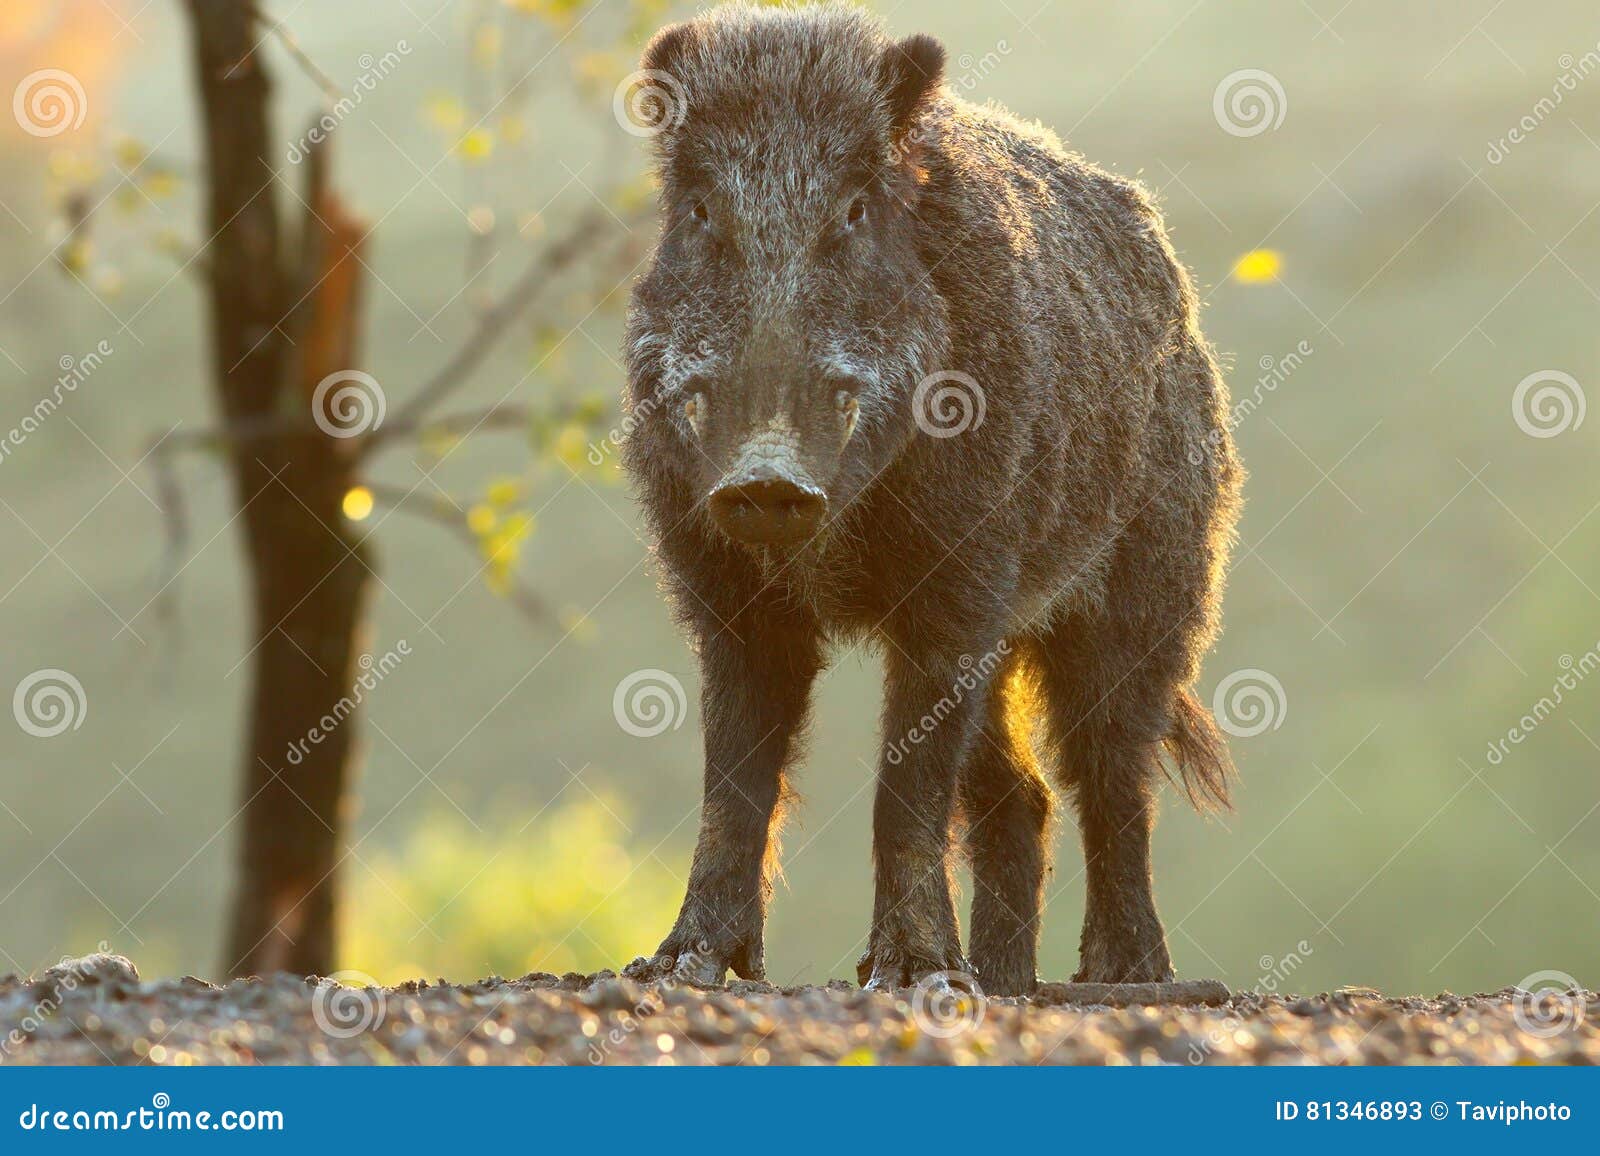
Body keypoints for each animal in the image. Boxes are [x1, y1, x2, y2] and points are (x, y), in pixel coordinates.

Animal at [620, 1, 1243, 996]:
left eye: (854, 211)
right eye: (701, 212)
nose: (765, 477)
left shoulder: (962, 579)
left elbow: (905, 787)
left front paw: (911, 974)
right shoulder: (724, 589)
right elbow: (734, 783)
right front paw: (677, 966)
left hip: (1155, 585)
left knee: (1114, 776)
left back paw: (1123, 977)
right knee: (1021, 797)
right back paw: (1004, 980)